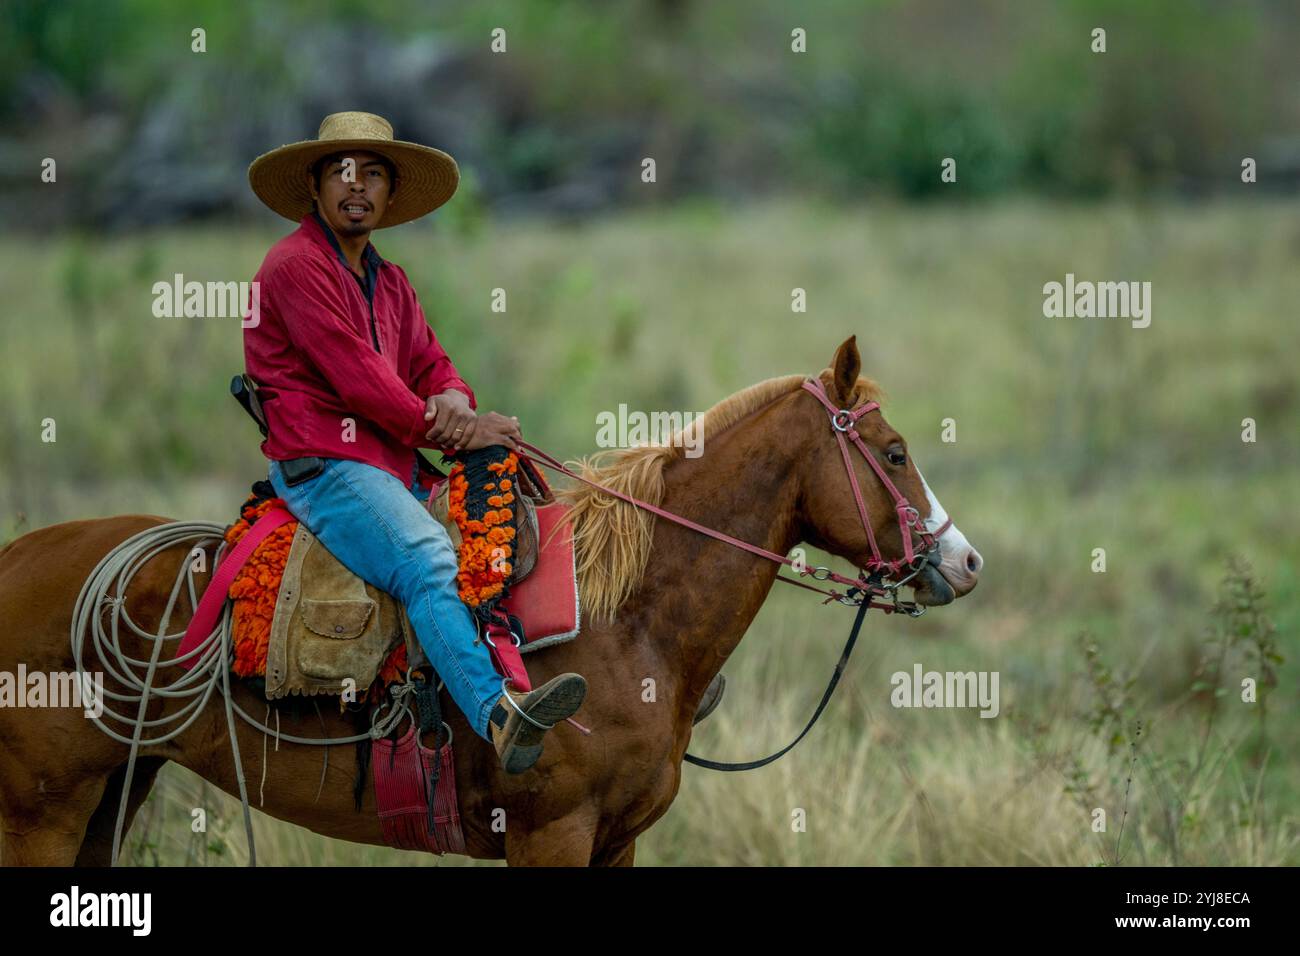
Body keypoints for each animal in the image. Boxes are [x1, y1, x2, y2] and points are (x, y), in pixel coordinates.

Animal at [0, 336, 982, 866]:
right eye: (894, 454)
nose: (964, 561)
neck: (628, 623)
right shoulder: (551, 835)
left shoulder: (617, 840)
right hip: (43, 809)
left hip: (116, 788)